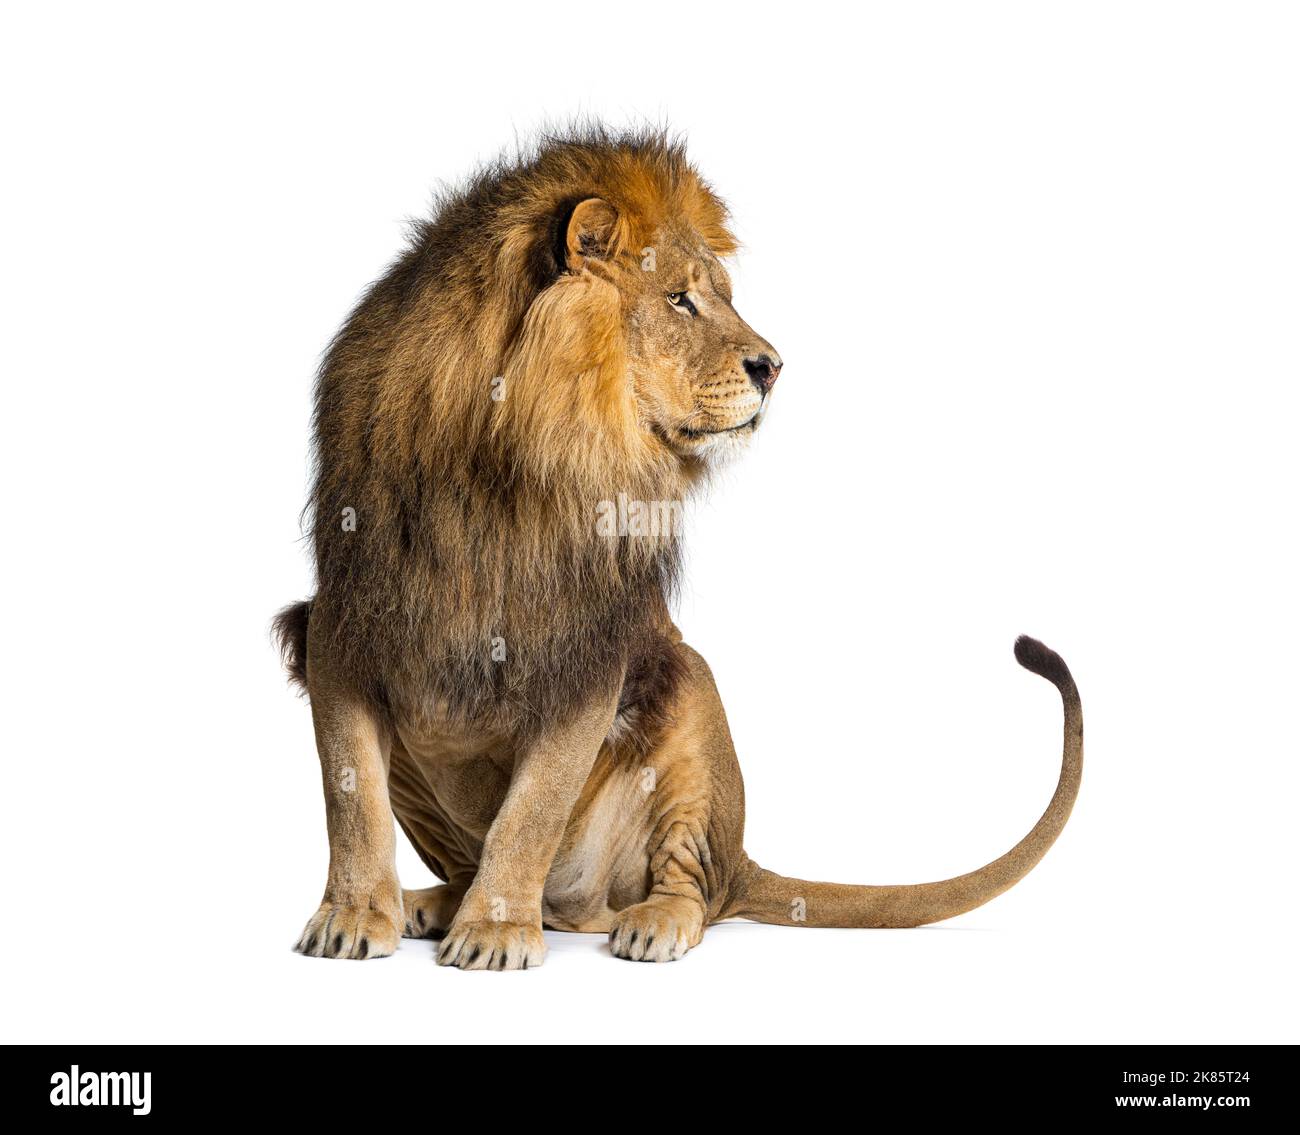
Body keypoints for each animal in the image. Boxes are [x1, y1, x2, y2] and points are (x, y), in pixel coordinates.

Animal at [274, 126, 1083, 968]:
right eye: (679, 299)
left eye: (718, 294)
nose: (774, 366)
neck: (503, 465)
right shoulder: (339, 624)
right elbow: (351, 795)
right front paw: (355, 915)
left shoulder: (591, 649)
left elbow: (531, 809)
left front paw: (495, 928)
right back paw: (432, 902)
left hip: (688, 692)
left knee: (690, 883)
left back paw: (645, 920)